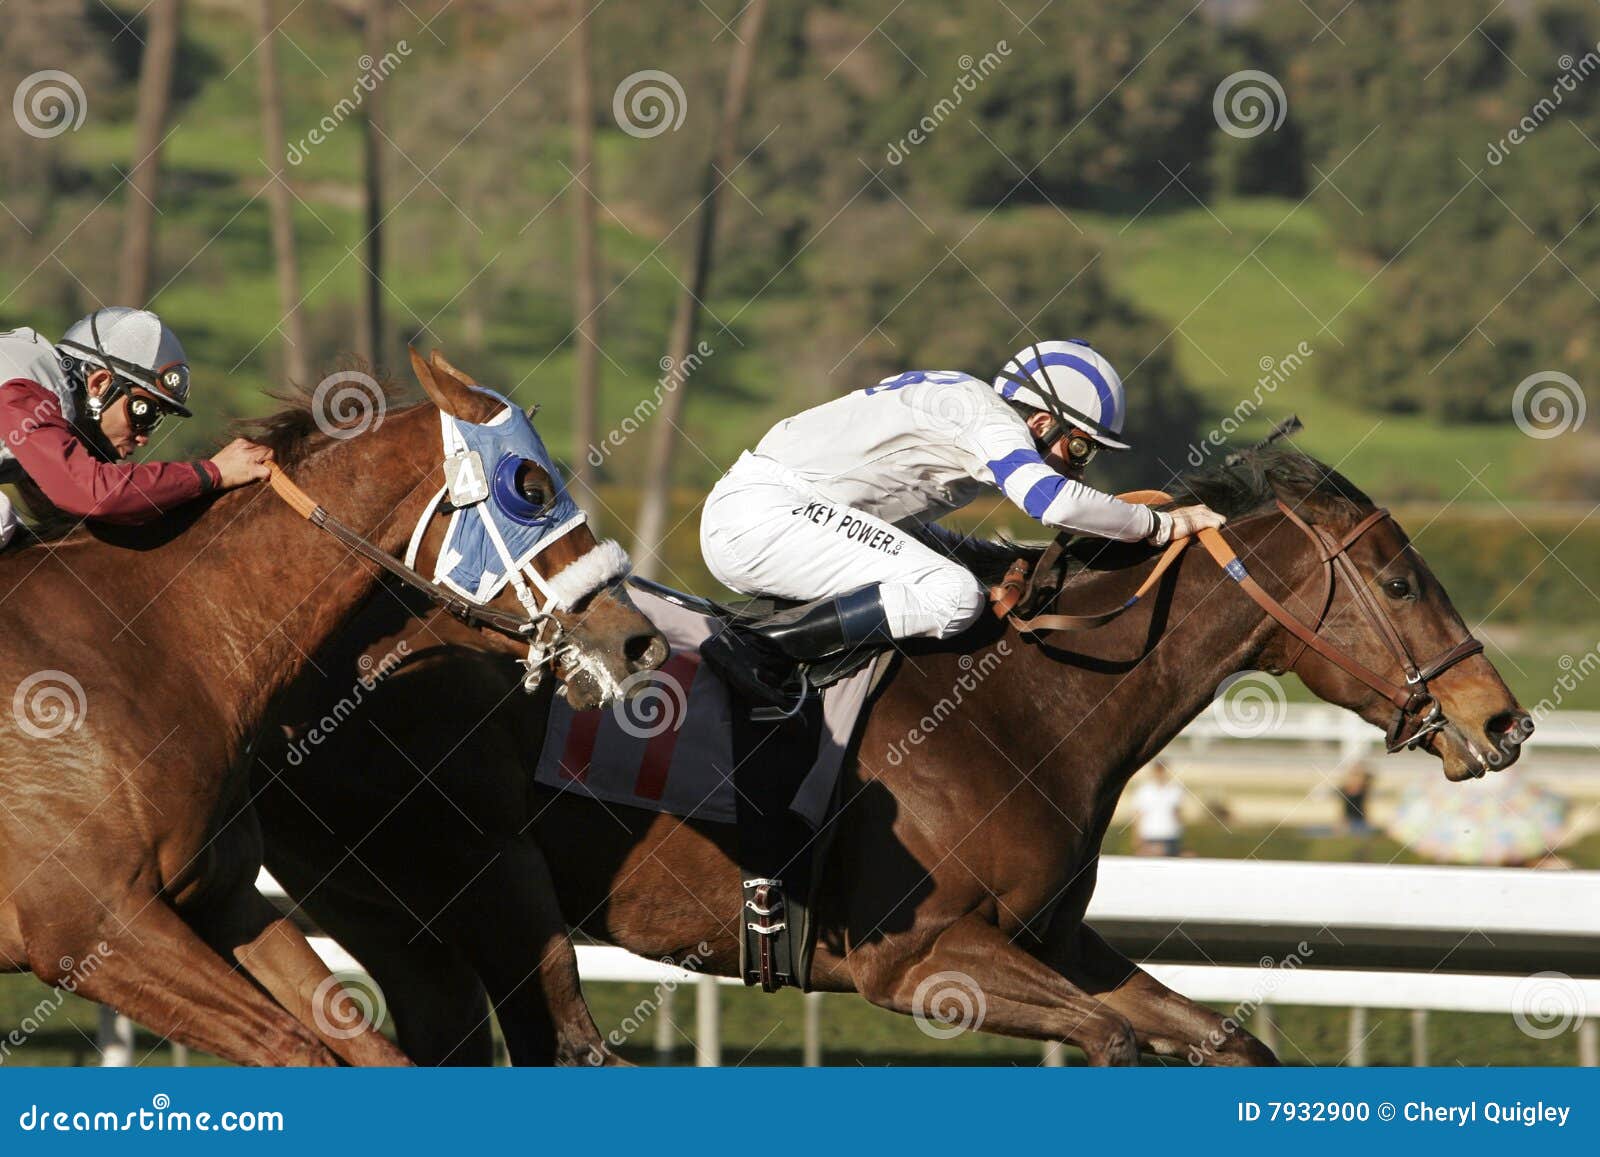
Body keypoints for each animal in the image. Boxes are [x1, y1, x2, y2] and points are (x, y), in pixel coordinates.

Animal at [0, 349, 666, 1066]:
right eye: (532, 489)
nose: (637, 643)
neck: (155, 637)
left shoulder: (225, 900)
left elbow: (366, 1047)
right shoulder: (93, 928)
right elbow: (299, 1046)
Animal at [256, 447, 1531, 1065]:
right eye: (1401, 581)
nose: (1504, 720)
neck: (1032, 705)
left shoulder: (1049, 940)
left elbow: (1227, 1038)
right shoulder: (915, 960)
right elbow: (1114, 1038)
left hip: (393, 909)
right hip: (476, 883)